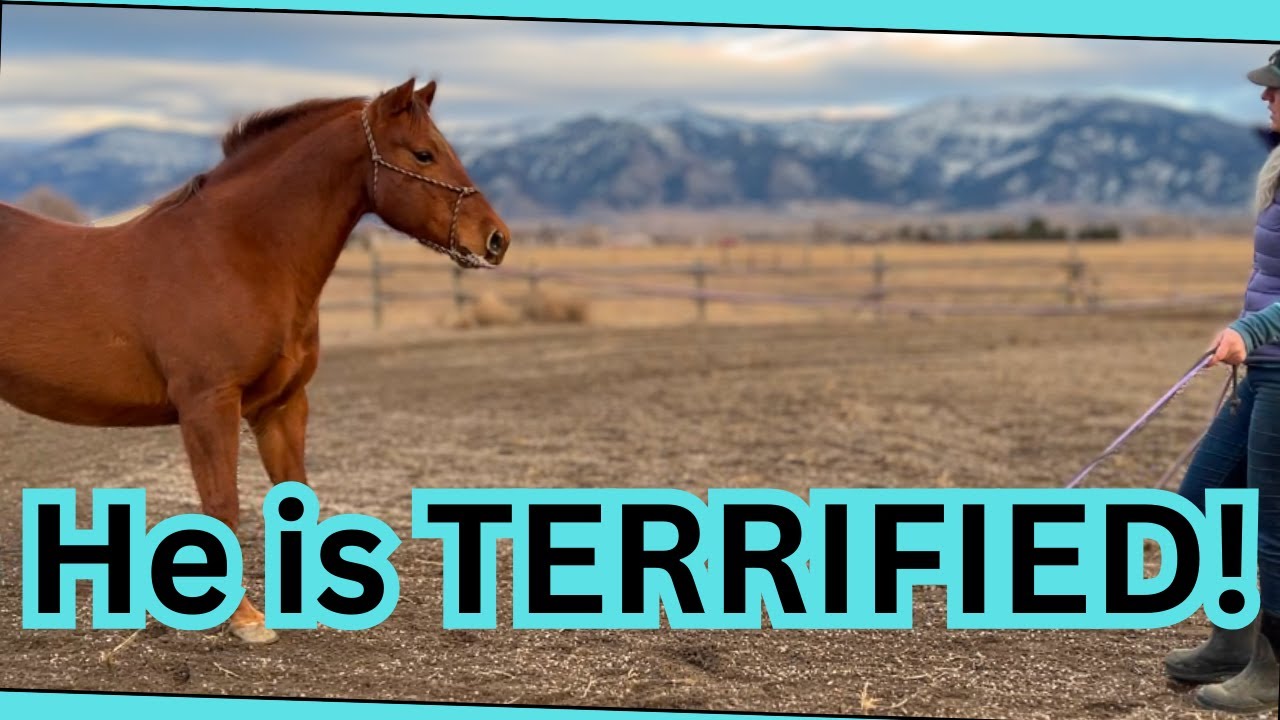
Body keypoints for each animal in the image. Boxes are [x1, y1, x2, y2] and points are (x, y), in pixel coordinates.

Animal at [0, 78, 511, 643]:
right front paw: (244, 620)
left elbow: (297, 500)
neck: (239, 253)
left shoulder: (283, 406)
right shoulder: (208, 405)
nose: (495, 239)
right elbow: (222, 506)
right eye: (424, 154)